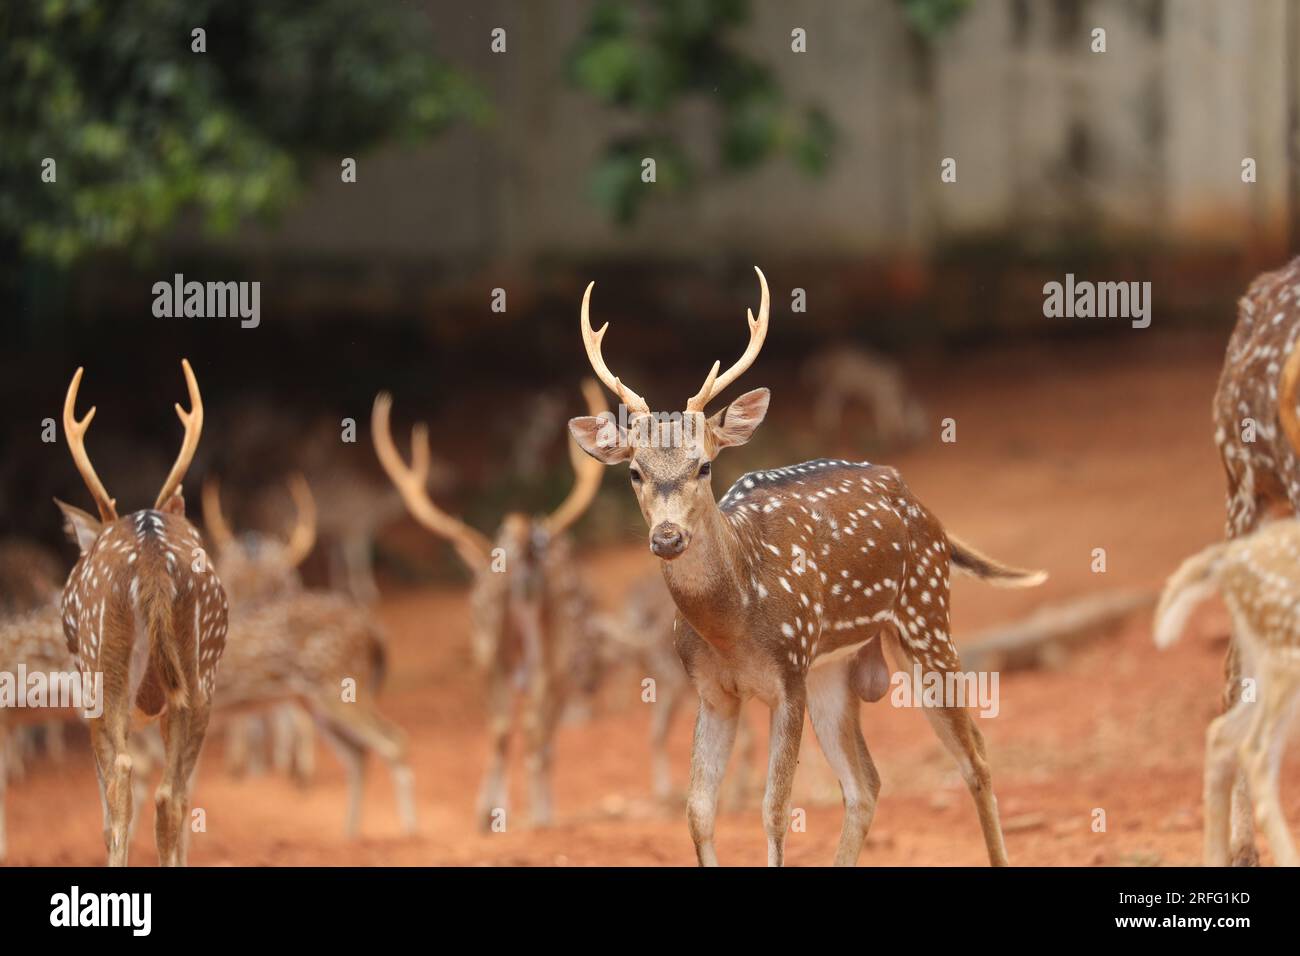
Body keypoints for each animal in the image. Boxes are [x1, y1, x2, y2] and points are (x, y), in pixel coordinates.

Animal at [372, 380, 608, 829]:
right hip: (544, 650)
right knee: (524, 726)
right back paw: (528, 815)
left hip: (510, 647)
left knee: (512, 725)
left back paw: (505, 814)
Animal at [567, 267, 1047, 866]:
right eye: (634, 470)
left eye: (704, 466)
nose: (668, 536)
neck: (733, 623)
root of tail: (920, 504)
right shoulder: (711, 689)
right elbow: (697, 811)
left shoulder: (788, 676)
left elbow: (774, 811)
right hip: (834, 669)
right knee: (866, 783)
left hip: (926, 618)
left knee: (975, 755)